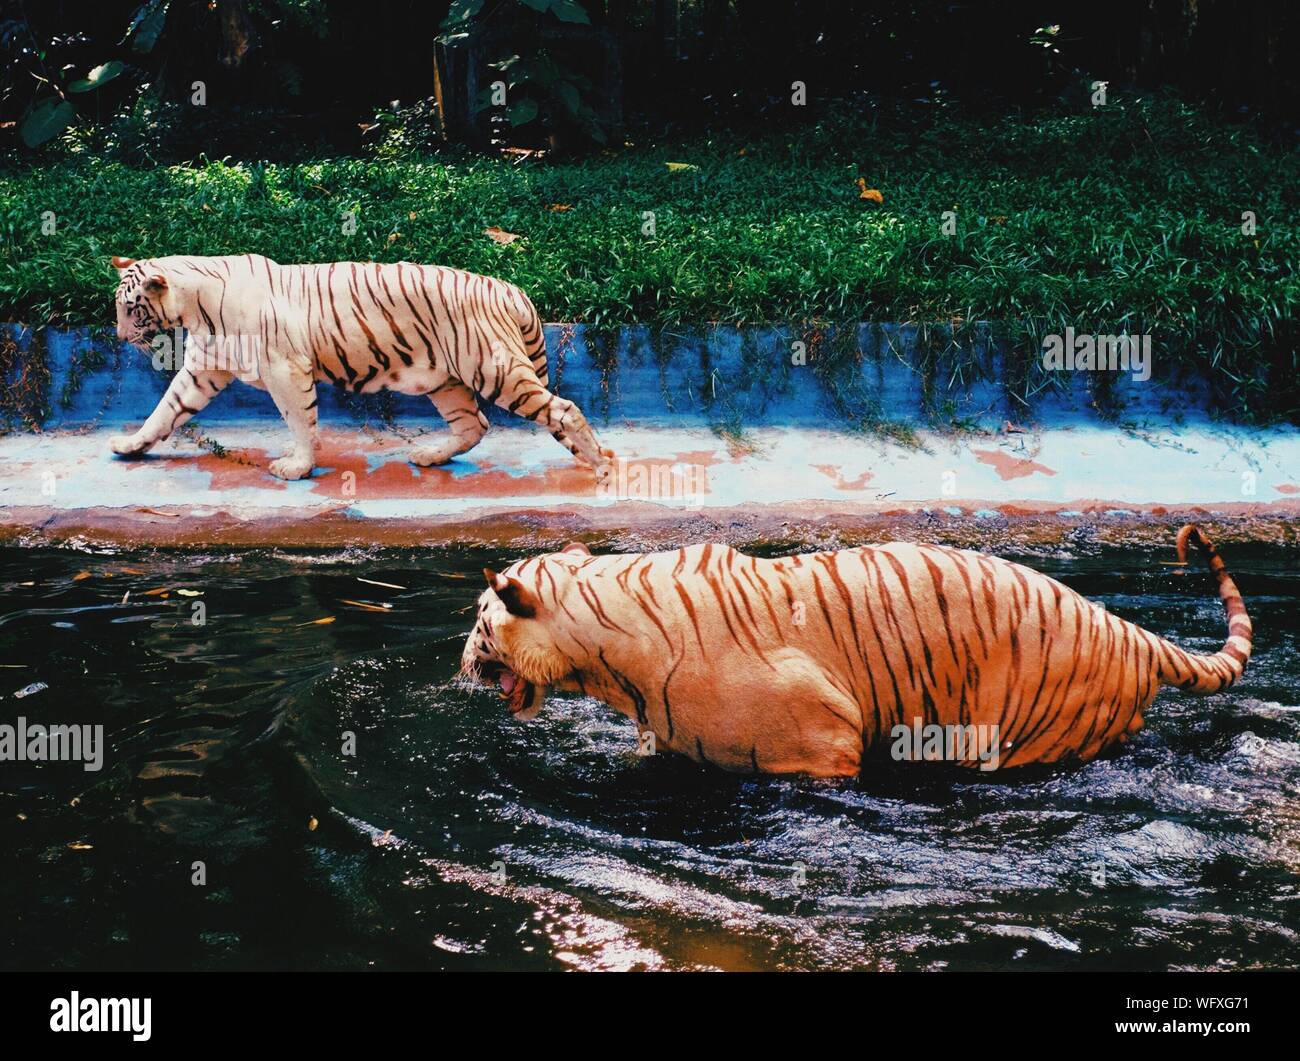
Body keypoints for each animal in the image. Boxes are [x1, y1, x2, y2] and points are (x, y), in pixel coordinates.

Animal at [108, 254, 615, 483]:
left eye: (132, 309)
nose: (119, 337)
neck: (194, 307)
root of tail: (510, 288)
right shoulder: (203, 368)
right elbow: (164, 411)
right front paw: (131, 446)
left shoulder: (285, 369)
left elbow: (299, 420)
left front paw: (297, 466)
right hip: (447, 381)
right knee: (475, 424)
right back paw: (430, 456)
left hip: (495, 370)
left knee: (562, 408)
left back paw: (603, 468)